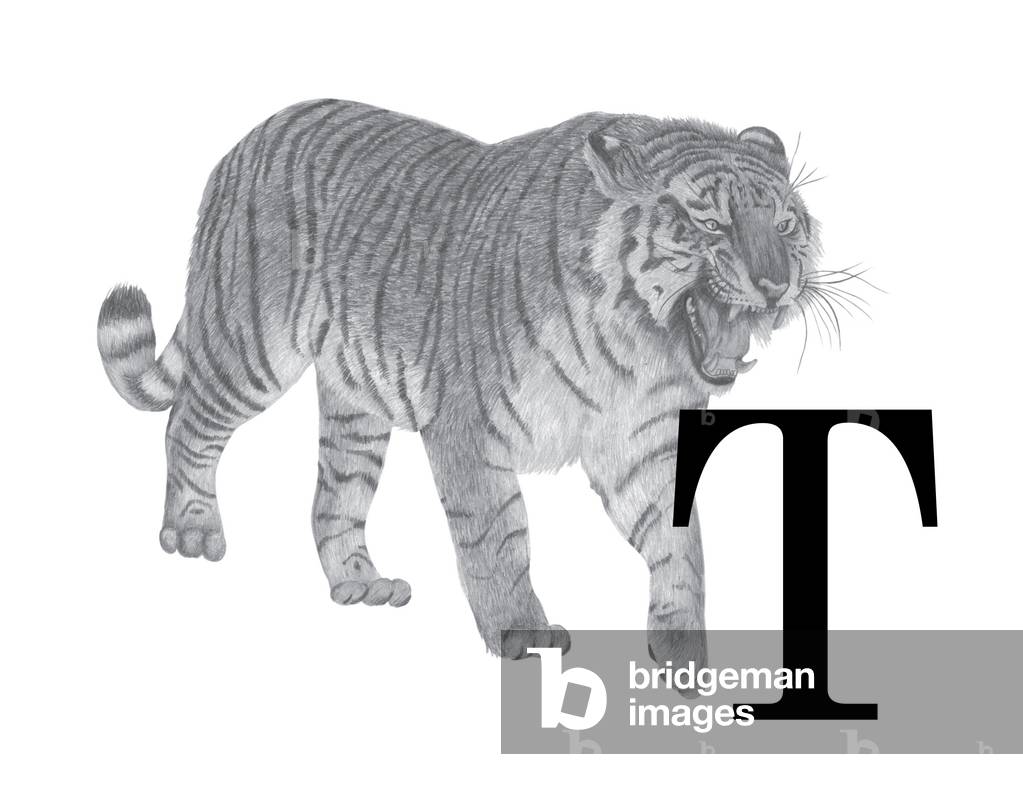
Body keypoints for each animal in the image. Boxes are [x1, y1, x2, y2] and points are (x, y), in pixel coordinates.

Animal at [97, 100, 818, 663]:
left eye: (786, 223)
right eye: (710, 223)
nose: (776, 283)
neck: (638, 350)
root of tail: (251, 137)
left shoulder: (641, 444)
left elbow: (679, 544)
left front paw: (683, 649)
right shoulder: (469, 429)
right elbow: (497, 534)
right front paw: (521, 633)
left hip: (355, 406)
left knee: (333, 496)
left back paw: (360, 583)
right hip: (250, 344)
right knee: (187, 423)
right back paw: (193, 532)